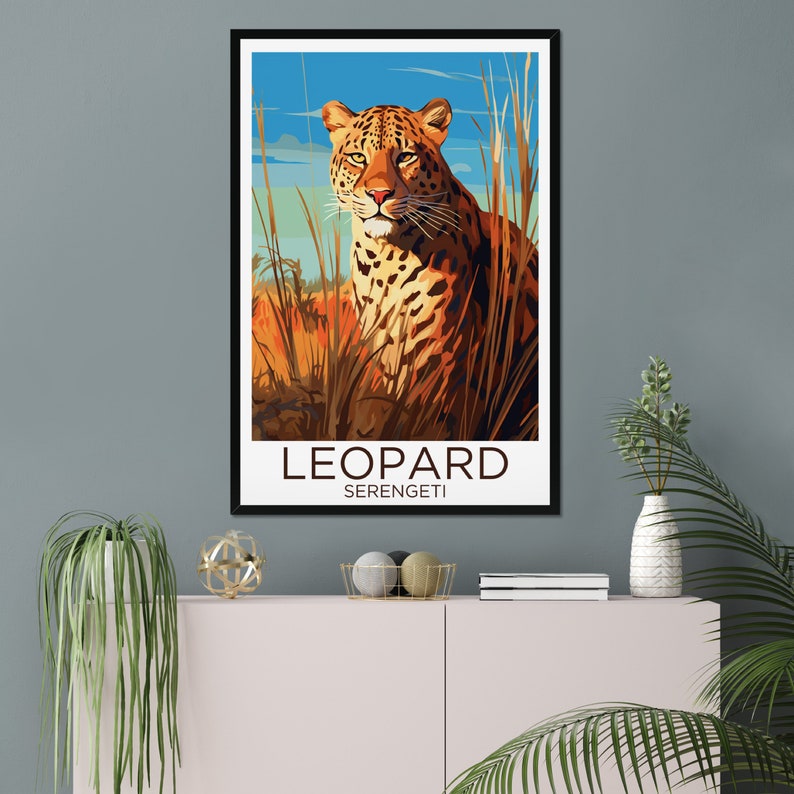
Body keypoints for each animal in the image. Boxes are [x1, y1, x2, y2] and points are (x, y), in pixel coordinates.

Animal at [321, 97, 539, 440]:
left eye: (405, 157)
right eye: (358, 158)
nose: (379, 194)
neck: (384, 258)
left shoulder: (442, 359)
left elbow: (431, 423)